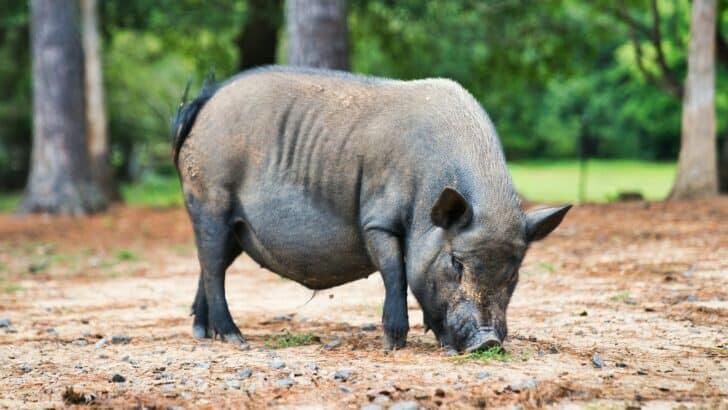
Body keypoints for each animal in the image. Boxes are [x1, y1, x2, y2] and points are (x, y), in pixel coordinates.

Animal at [172, 66, 570, 353]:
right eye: (456, 263)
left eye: (514, 273)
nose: (487, 341)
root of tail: (207, 99)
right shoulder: (378, 220)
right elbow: (396, 272)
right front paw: (393, 344)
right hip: (209, 198)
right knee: (212, 267)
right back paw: (235, 339)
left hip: (236, 226)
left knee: (211, 265)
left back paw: (202, 332)